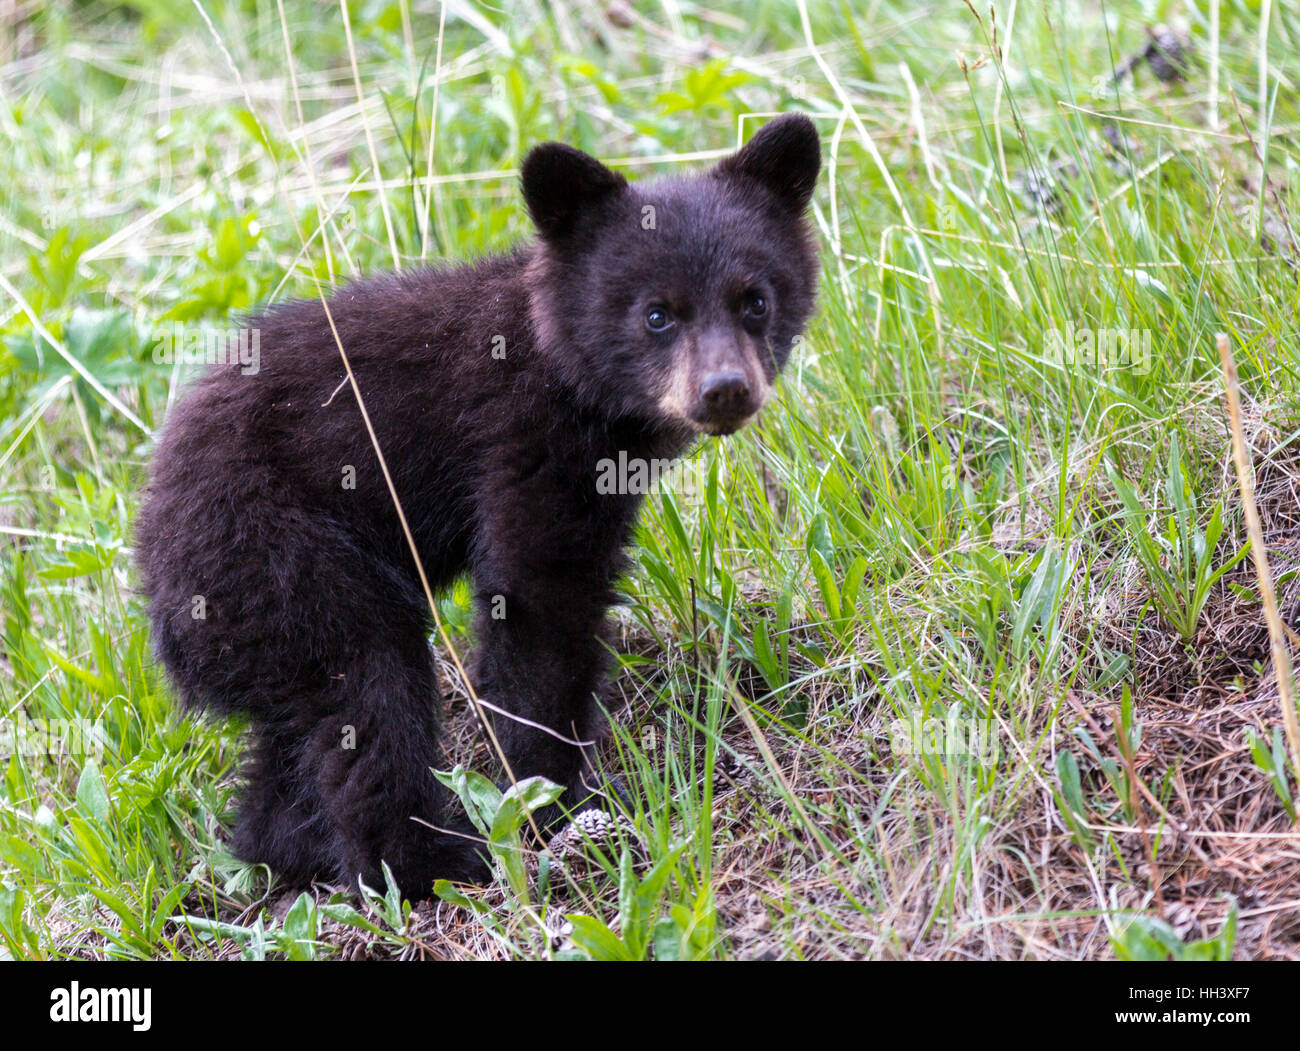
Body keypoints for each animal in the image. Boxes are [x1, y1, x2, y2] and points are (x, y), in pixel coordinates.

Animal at [134, 113, 821, 895]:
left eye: (755, 298)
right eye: (656, 314)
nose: (725, 389)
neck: (566, 370)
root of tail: (155, 581)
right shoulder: (523, 443)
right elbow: (536, 606)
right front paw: (555, 797)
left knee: (295, 738)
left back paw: (284, 849)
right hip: (277, 555)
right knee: (368, 690)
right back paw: (434, 857)